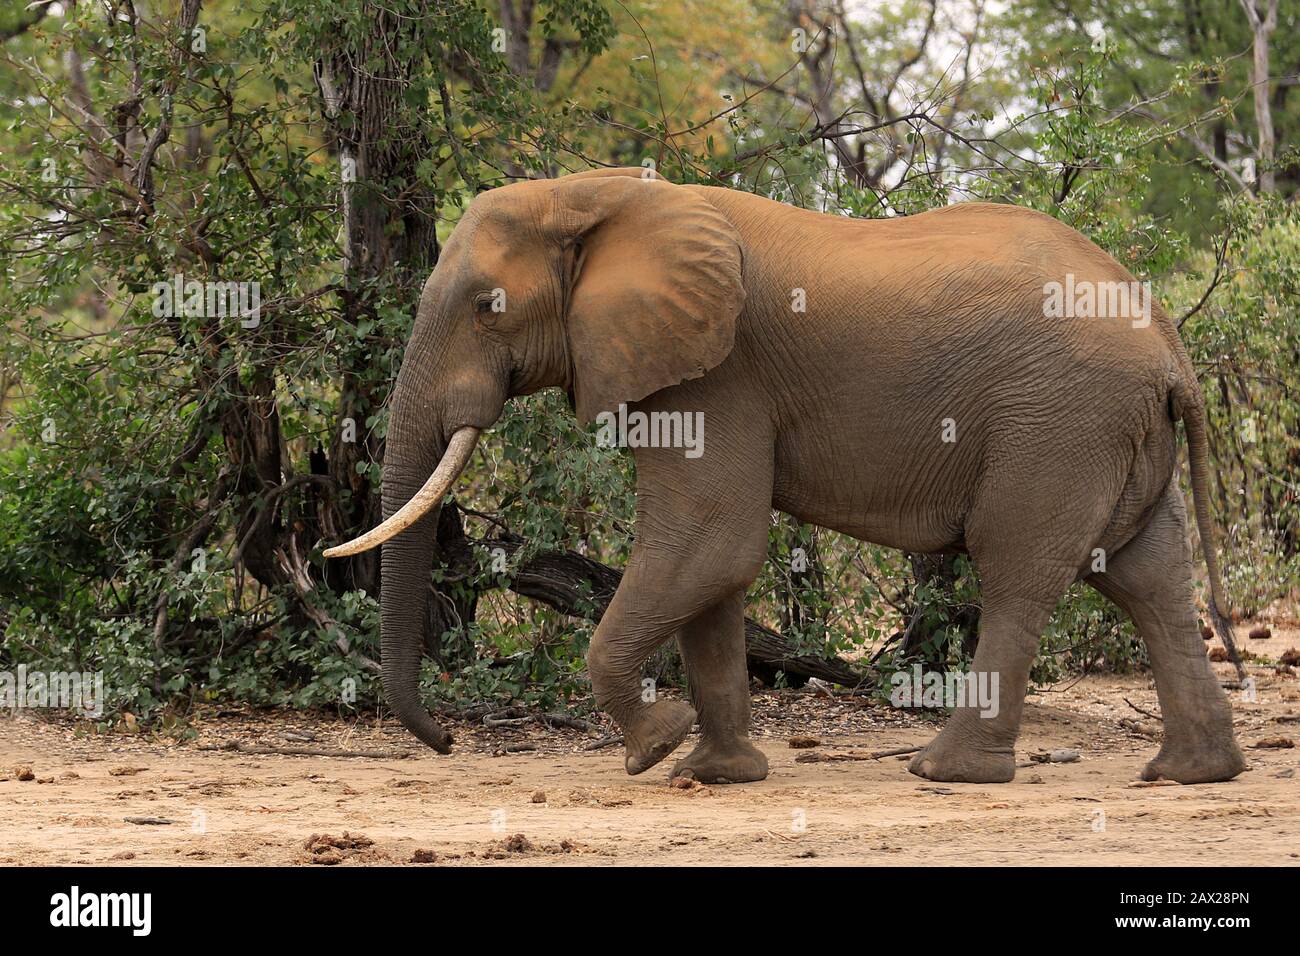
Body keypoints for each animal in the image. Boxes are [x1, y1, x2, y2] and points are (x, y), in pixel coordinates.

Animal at [325, 166, 1247, 787]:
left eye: (488, 306)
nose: (447, 741)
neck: (597, 192)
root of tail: (1171, 343)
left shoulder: (718, 372)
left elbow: (710, 542)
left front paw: (656, 746)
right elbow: (712, 567)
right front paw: (714, 773)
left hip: (1059, 423)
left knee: (1017, 568)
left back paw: (942, 772)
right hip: (1113, 433)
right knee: (1148, 576)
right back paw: (1191, 772)